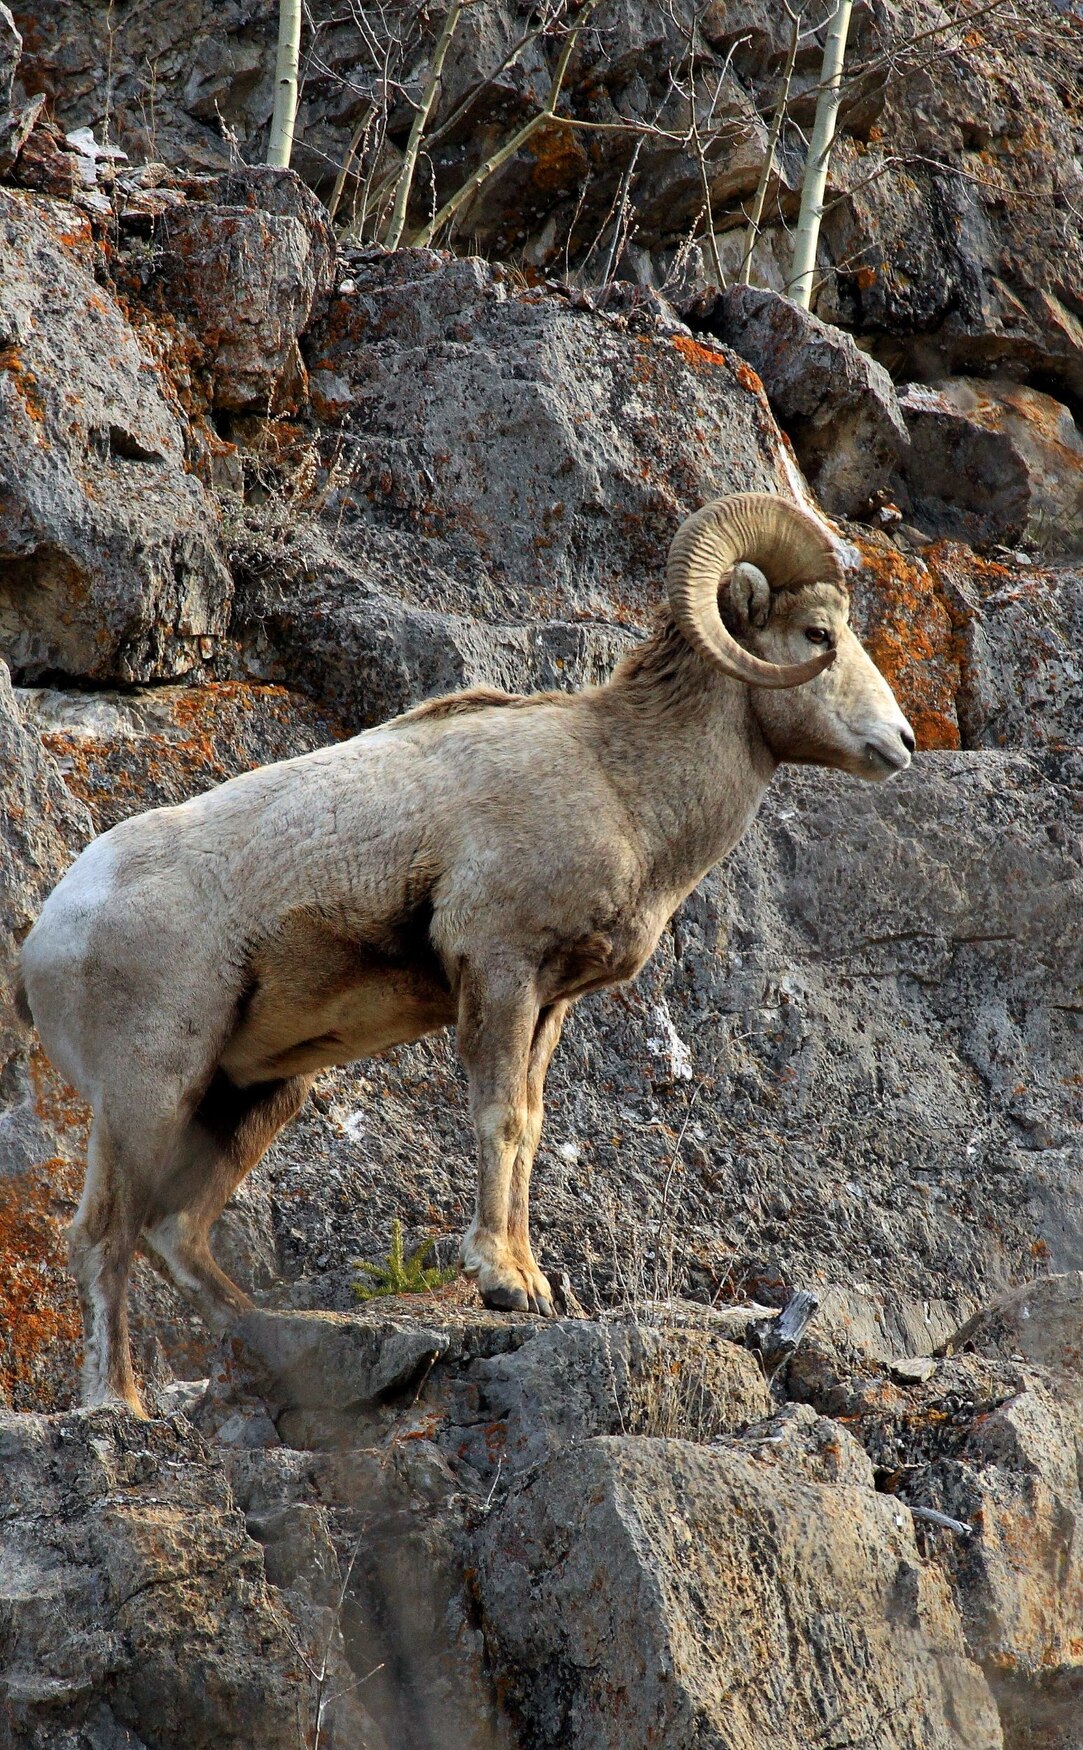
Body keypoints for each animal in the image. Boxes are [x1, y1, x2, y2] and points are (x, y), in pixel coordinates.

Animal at [20, 493, 915, 1414]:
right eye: (816, 634)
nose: (902, 741)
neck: (618, 783)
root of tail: (46, 938)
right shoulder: (499, 969)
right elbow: (501, 1117)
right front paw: (504, 1282)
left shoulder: (551, 1002)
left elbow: (530, 1125)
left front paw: (531, 1281)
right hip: (150, 1091)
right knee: (103, 1238)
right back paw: (117, 1403)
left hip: (258, 1096)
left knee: (175, 1234)